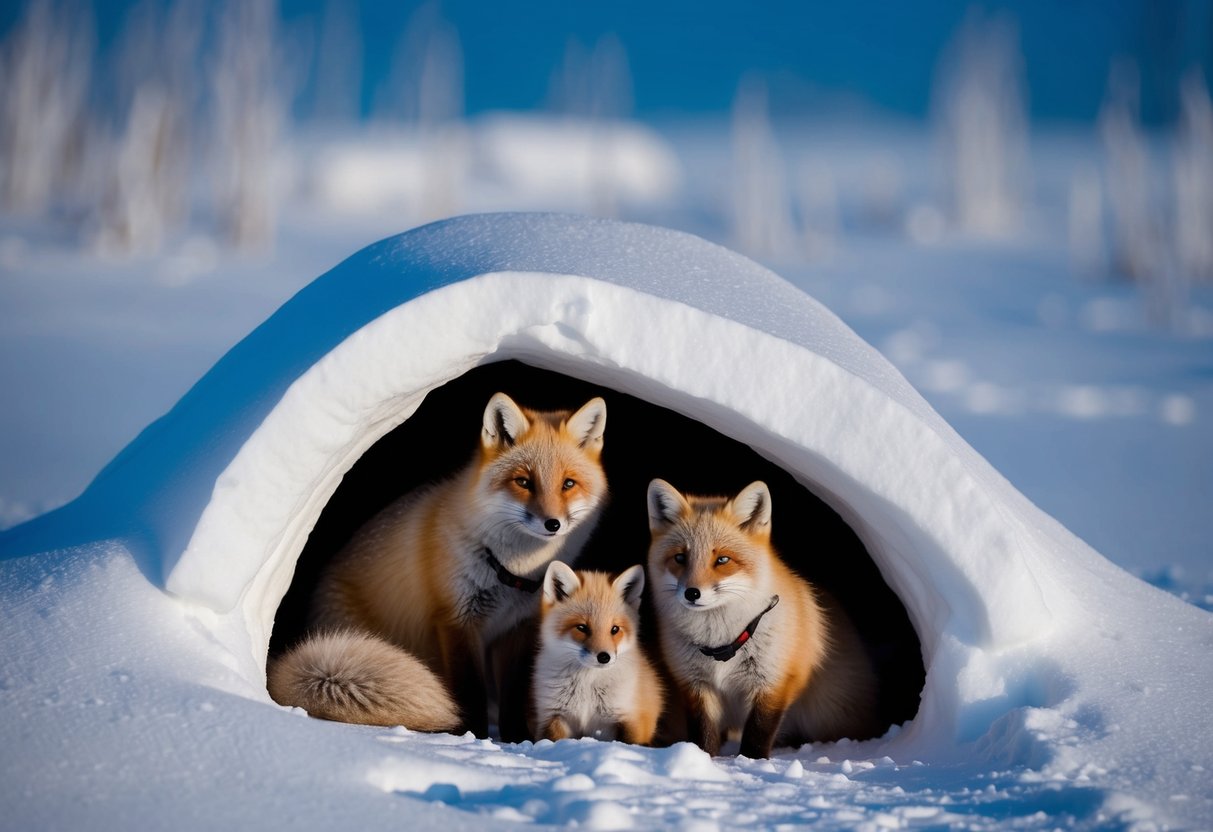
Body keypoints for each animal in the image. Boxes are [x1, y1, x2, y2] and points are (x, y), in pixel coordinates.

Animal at [268, 392, 609, 737]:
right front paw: (473, 736)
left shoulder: (517, 629)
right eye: (524, 482)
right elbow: (470, 692)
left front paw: (518, 740)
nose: (552, 524)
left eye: (568, 484)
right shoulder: (456, 620)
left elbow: (513, 695)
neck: (511, 571)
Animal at [531, 561, 664, 745]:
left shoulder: (628, 717)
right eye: (582, 627)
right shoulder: (553, 715)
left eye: (614, 629)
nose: (604, 657)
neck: (587, 686)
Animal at [646, 478, 879, 759]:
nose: (692, 593)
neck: (721, 645)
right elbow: (704, 733)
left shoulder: (773, 682)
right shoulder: (695, 685)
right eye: (680, 557)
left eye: (722, 559)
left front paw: (751, 761)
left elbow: (758, 731)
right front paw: (704, 759)